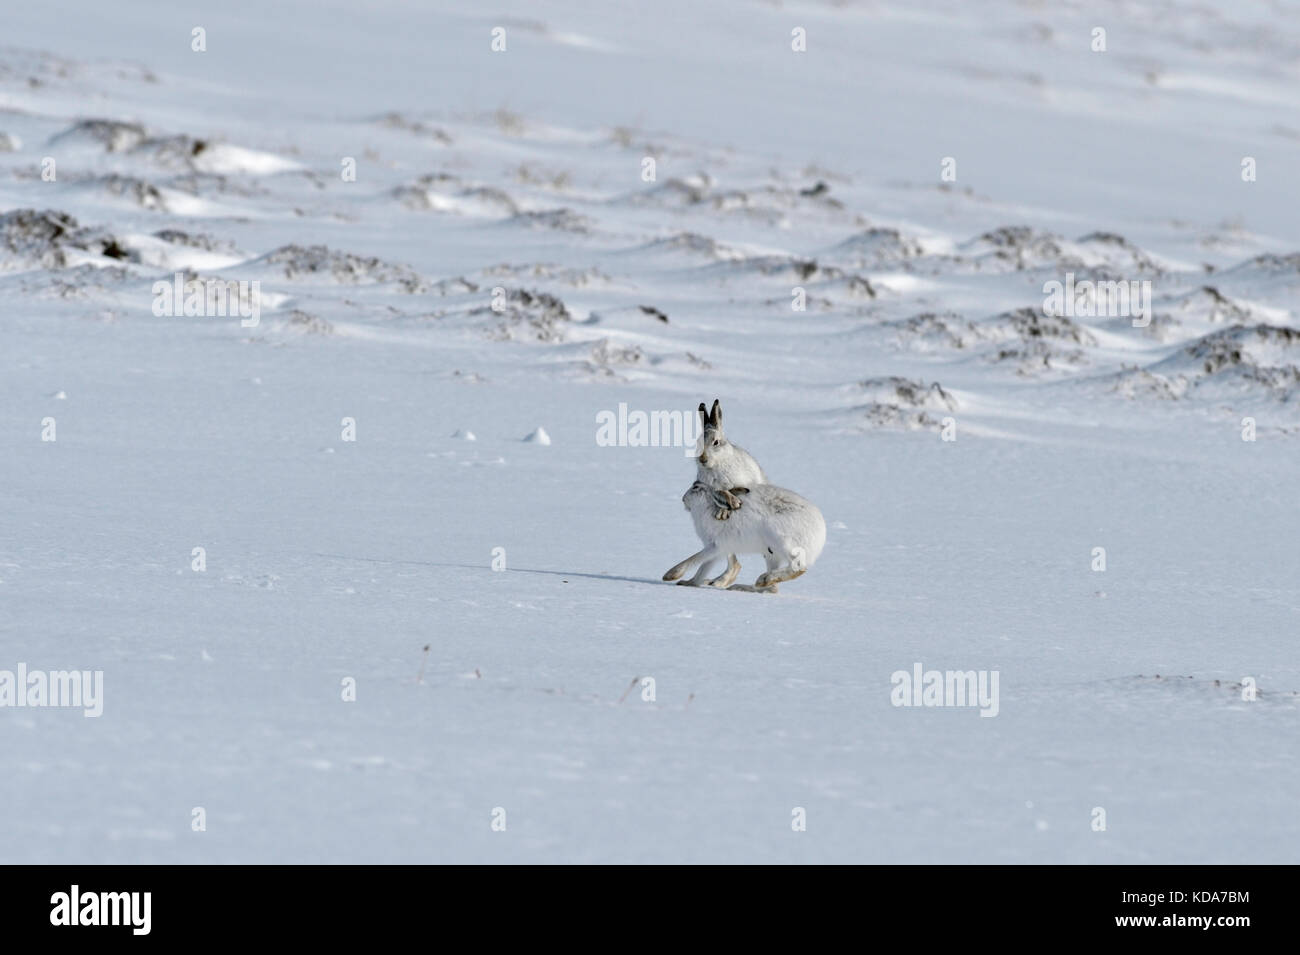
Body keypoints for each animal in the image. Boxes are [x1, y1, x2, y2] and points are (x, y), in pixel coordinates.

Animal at [676, 399, 768, 587]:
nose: (702, 459)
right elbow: (721, 492)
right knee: (733, 563)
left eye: (716, 442)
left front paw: (727, 508)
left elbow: (735, 491)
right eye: (697, 443)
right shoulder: (710, 486)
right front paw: (726, 505)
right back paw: (716, 581)